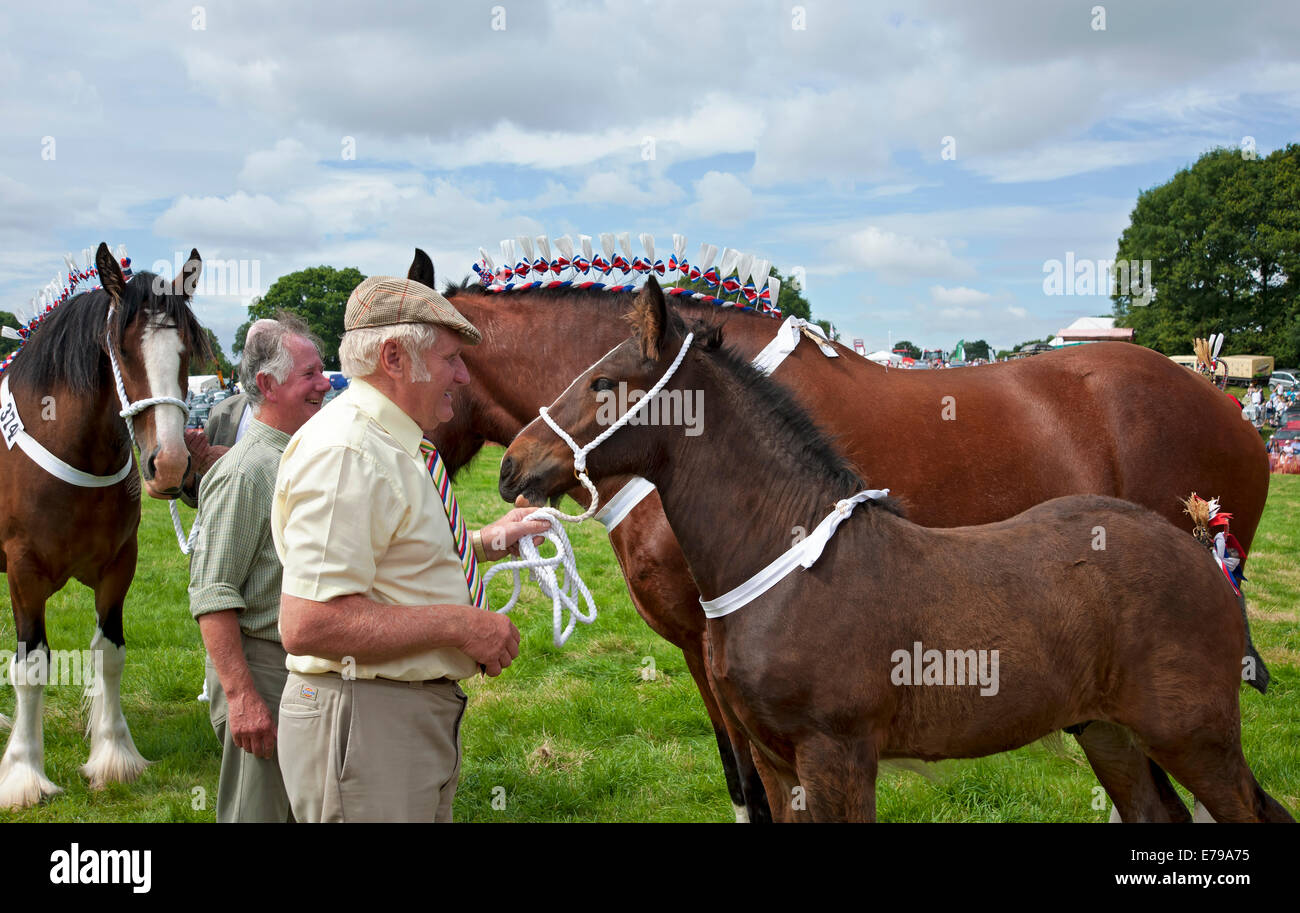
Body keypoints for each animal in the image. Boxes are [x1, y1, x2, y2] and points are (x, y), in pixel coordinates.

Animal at [0, 243, 211, 809]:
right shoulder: (23, 573)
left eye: (187, 349)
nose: (170, 466)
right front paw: (25, 773)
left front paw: (114, 755)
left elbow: (110, 654)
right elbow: (31, 665)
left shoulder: (120, 566)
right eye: (122, 349)